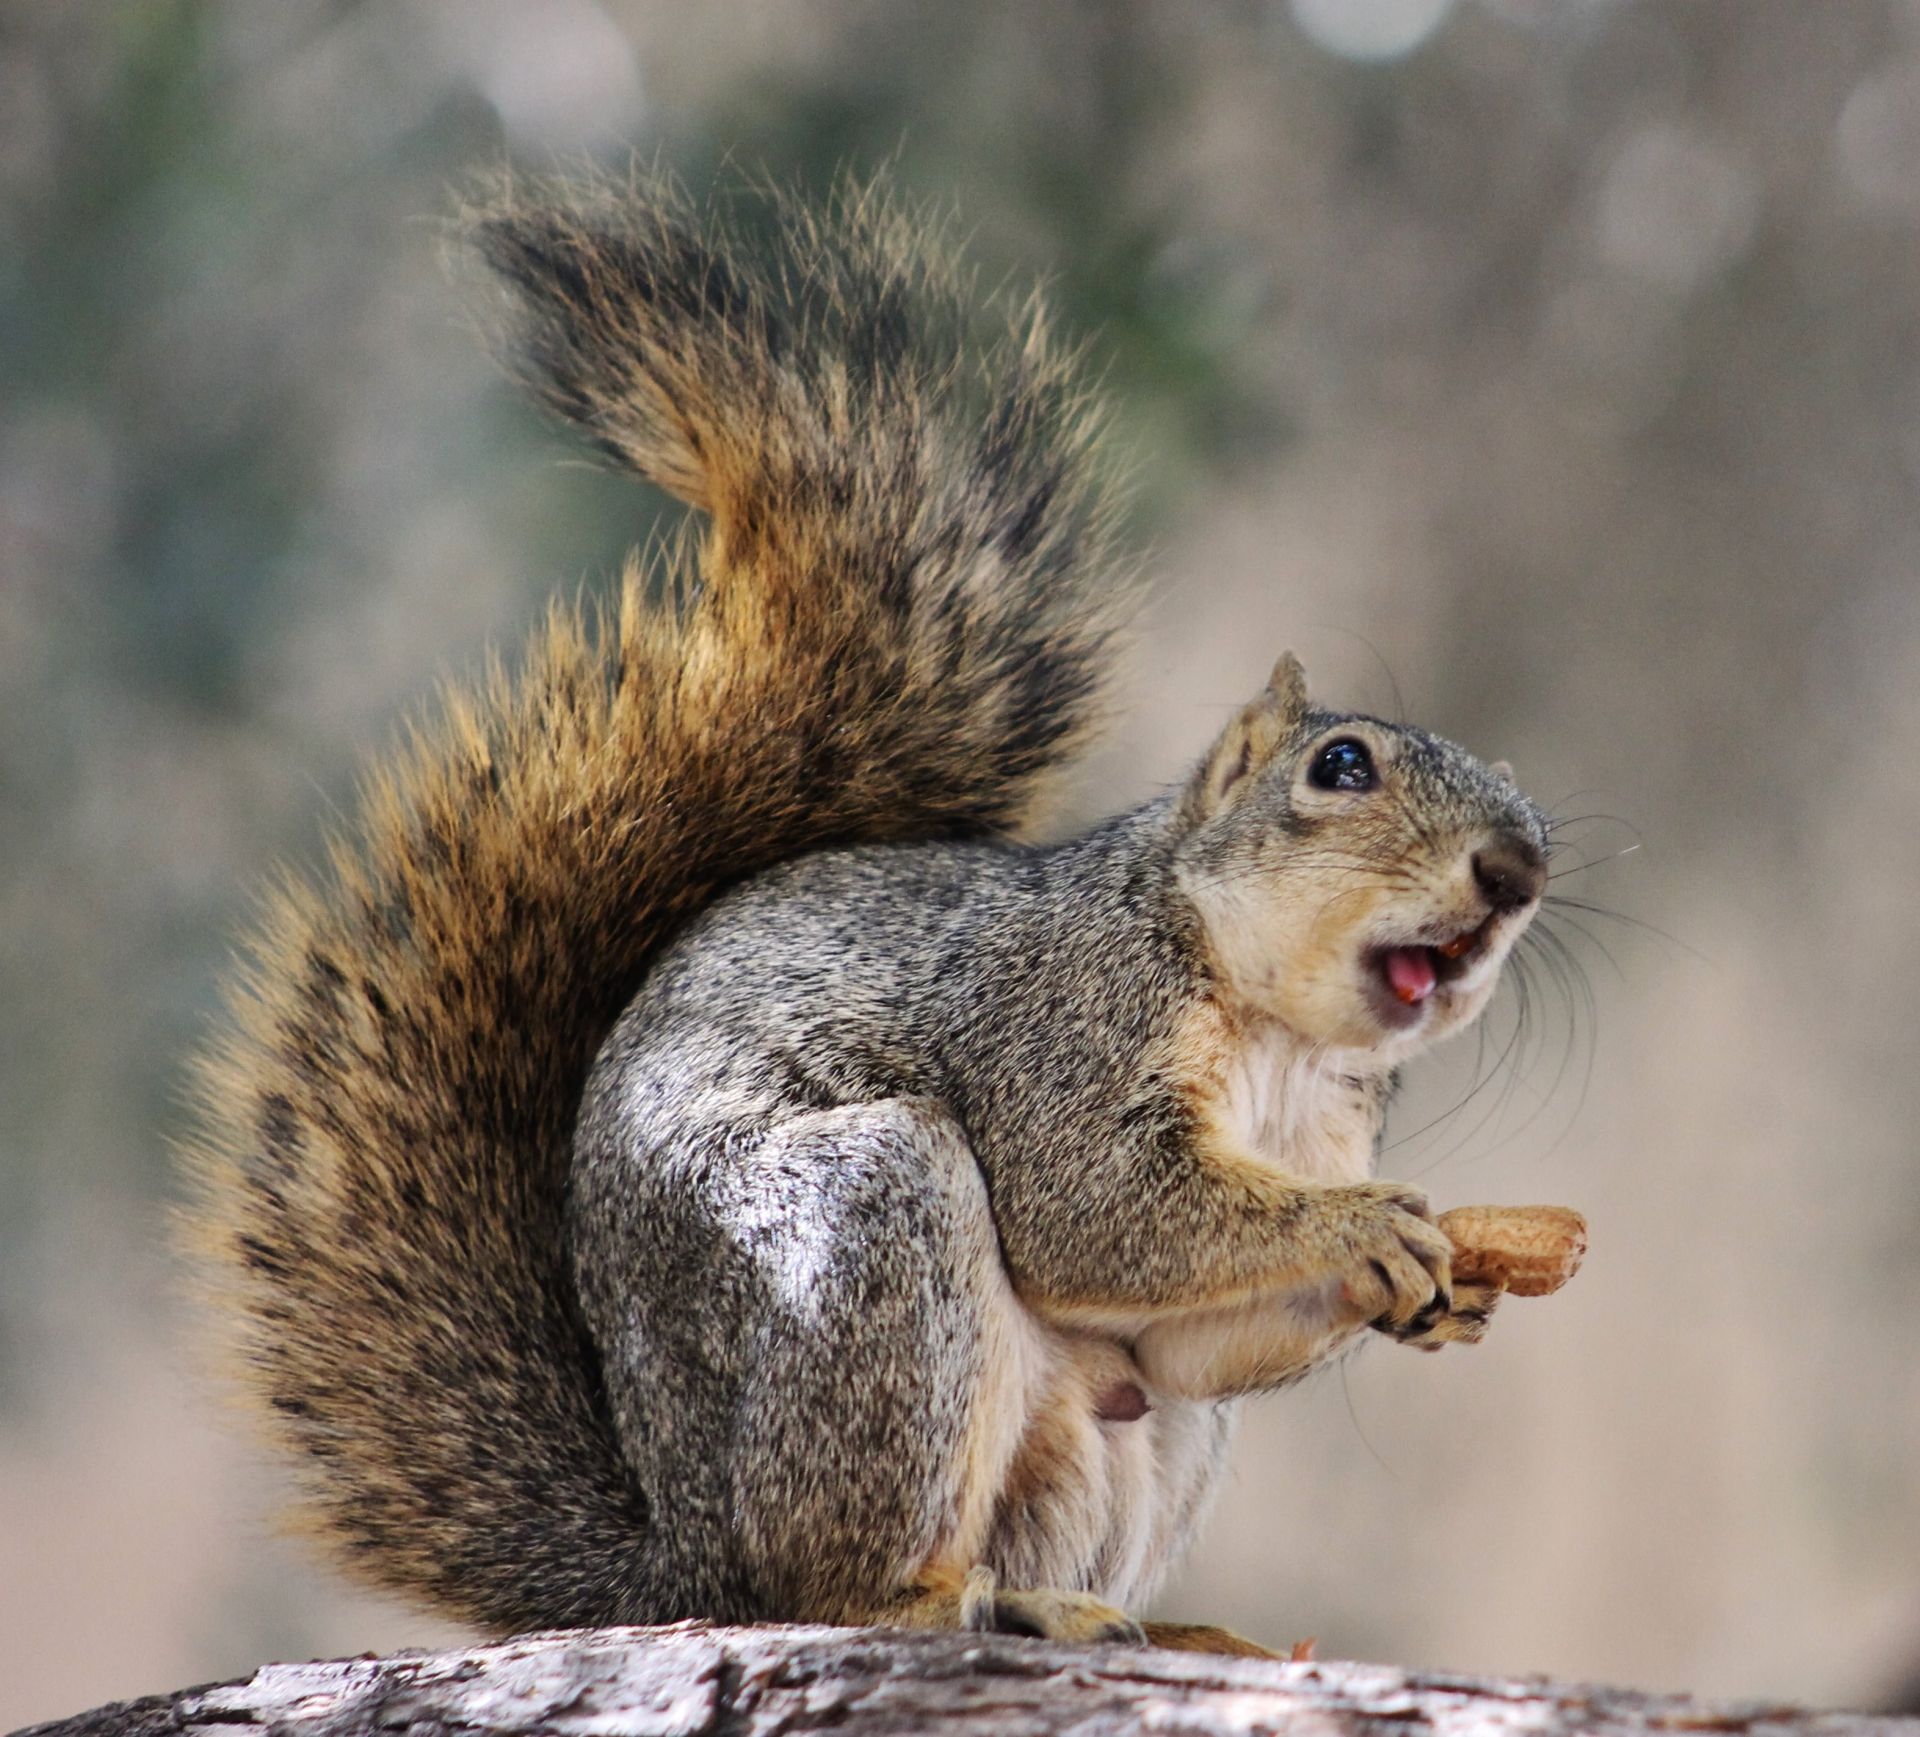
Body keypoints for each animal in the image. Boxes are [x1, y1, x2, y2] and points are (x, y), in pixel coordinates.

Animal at [181, 172, 1552, 1659]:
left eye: (1532, 806)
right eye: (1341, 766)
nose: (1518, 871)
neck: (1273, 1030)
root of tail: (685, 1561)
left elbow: (1187, 1334)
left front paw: (1429, 1285)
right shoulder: (1060, 1023)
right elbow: (1097, 1208)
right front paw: (1364, 1234)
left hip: (1129, 1444)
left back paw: (1137, 1621)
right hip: (871, 1243)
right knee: (828, 1583)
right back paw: (949, 1599)